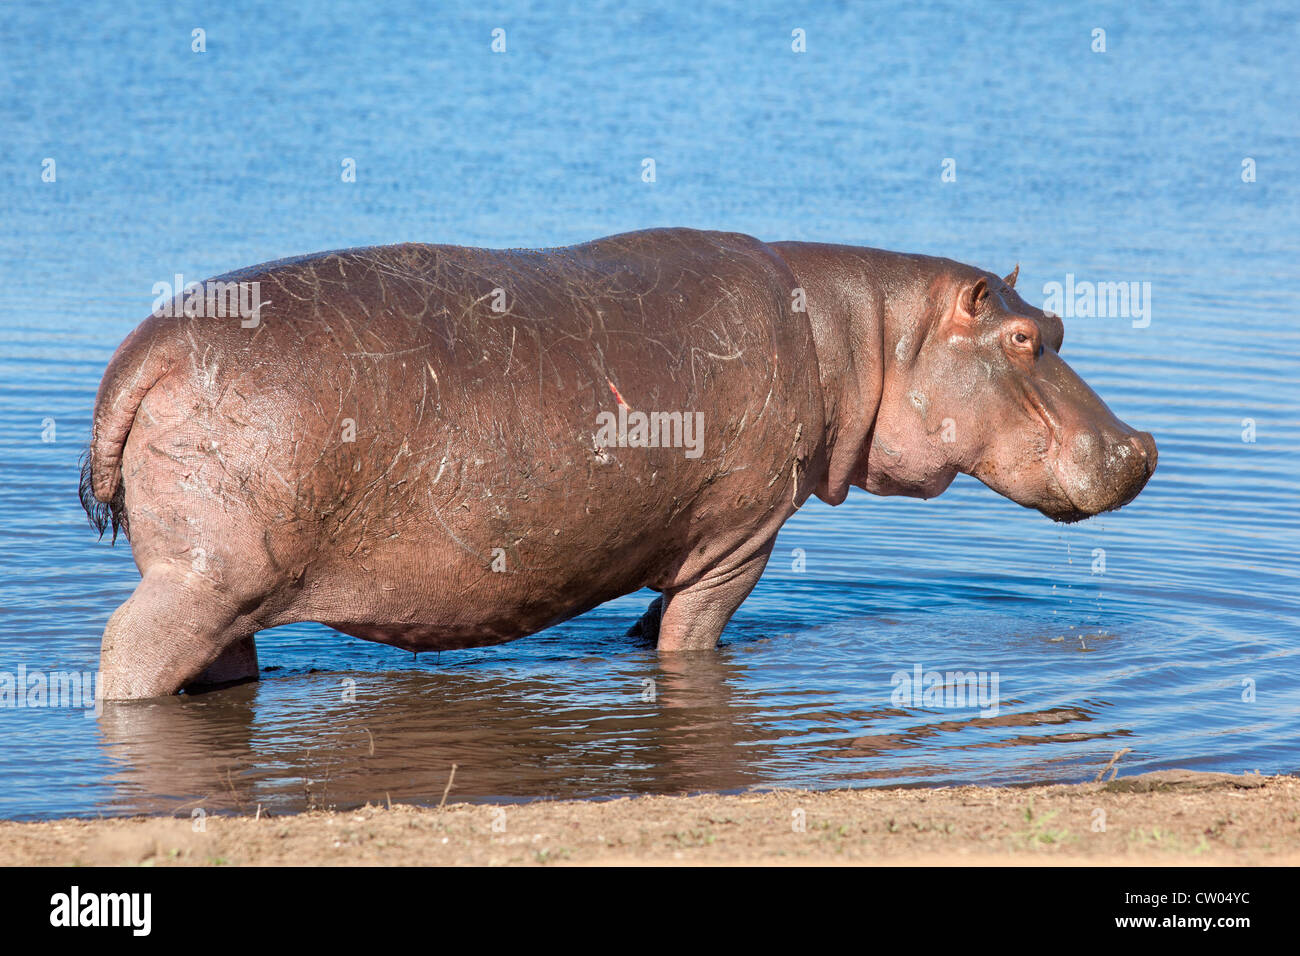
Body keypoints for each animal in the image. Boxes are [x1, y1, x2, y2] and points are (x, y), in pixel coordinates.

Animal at [81, 228, 1156, 700]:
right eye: (1023, 338)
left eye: (1059, 325)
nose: (1140, 447)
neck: (865, 335)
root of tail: (142, 354)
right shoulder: (739, 541)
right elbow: (690, 637)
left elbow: (648, 625)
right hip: (207, 575)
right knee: (129, 649)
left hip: (224, 587)